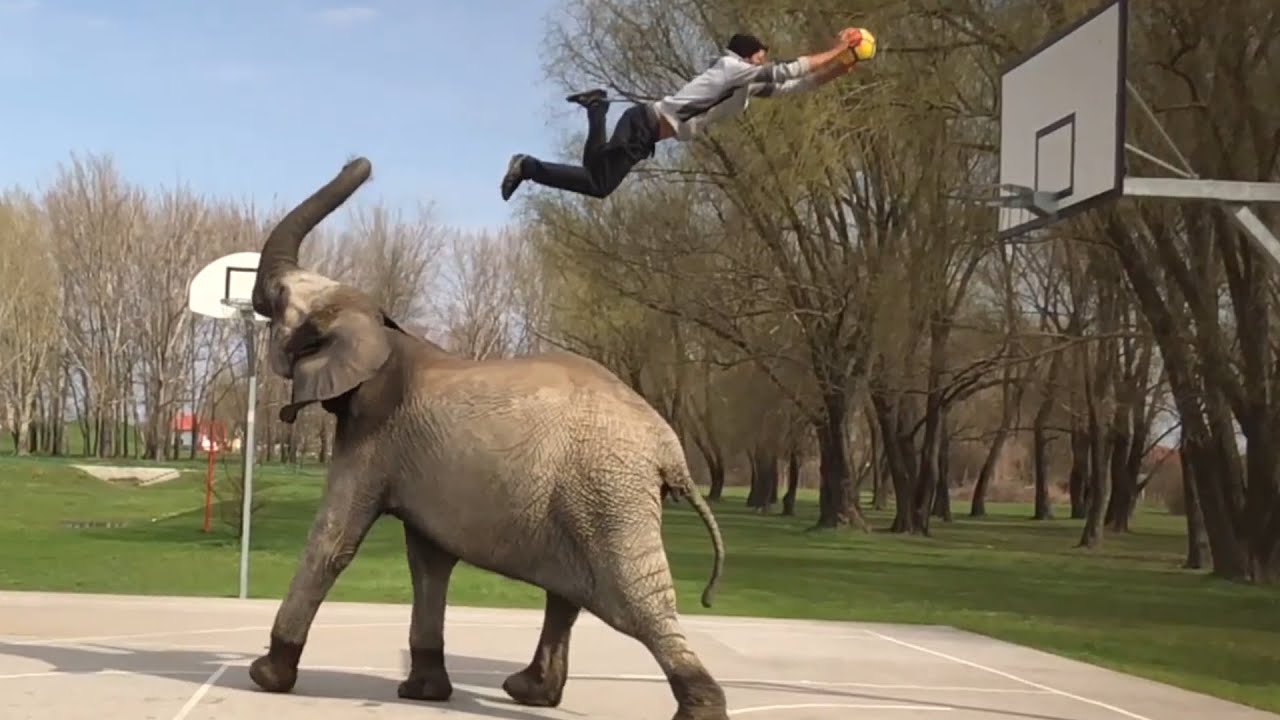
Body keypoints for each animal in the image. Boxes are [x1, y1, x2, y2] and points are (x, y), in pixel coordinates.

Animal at [243, 156, 730, 720]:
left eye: (280, 299)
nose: (360, 162)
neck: (378, 328)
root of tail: (668, 448)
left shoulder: (372, 435)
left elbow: (332, 541)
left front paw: (265, 677)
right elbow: (428, 562)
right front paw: (423, 692)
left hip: (608, 493)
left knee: (637, 604)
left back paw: (697, 709)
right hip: (595, 498)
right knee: (571, 597)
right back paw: (529, 692)